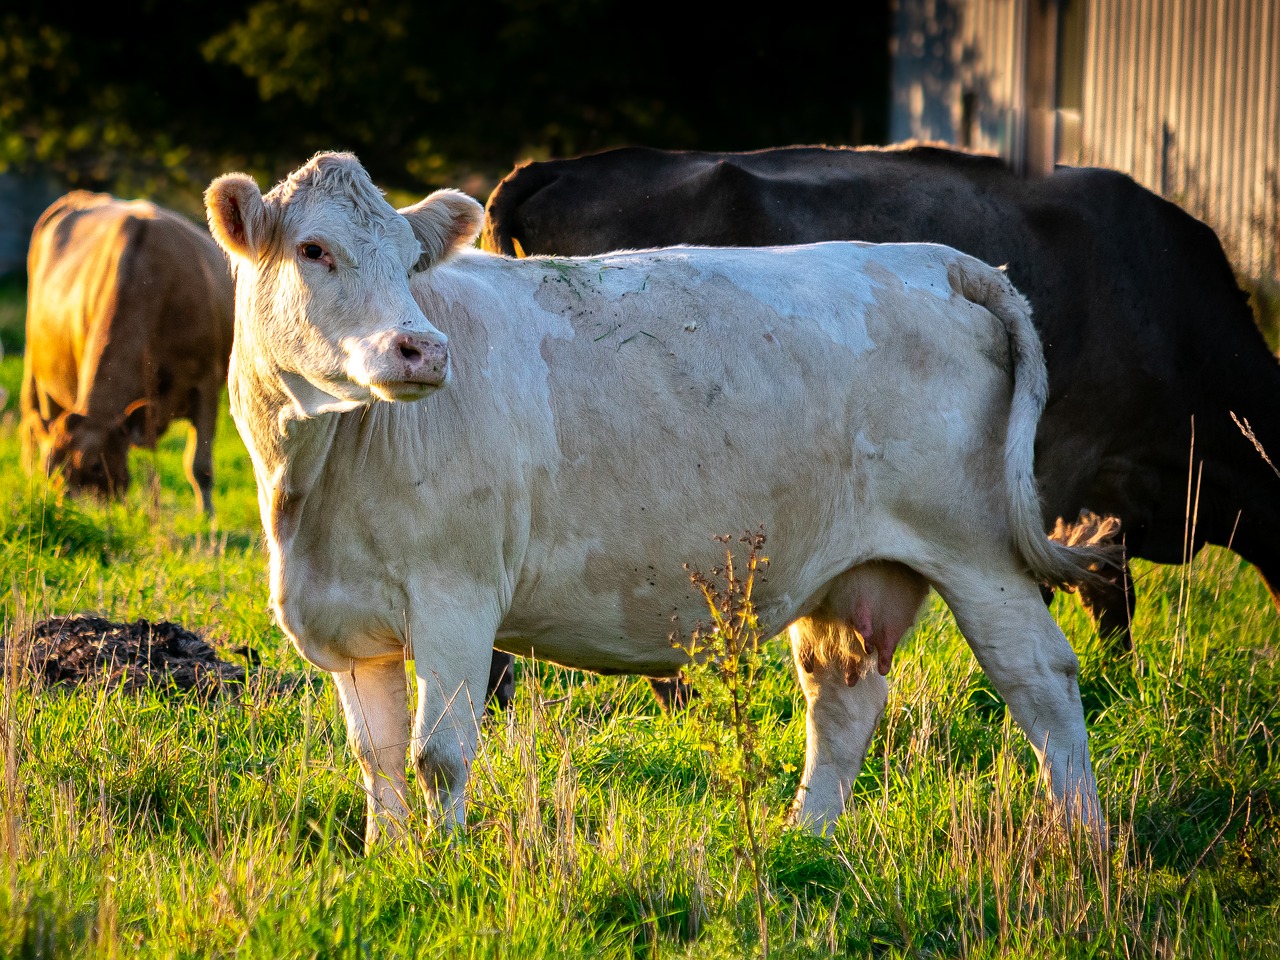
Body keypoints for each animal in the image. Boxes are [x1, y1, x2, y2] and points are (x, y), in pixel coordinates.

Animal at [20, 190, 235, 513]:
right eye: (51, 471)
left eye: (97, 466)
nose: (74, 516)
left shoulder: (207, 384)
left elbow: (200, 467)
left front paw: (206, 520)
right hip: (40, 373)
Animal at [205, 151, 1109, 848]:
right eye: (314, 249)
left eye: (407, 261)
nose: (421, 348)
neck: (312, 487)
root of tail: (939, 261)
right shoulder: (352, 626)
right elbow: (379, 761)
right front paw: (391, 861)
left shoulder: (454, 597)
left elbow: (441, 755)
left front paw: (449, 864)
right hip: (854, 567)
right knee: (842, 696)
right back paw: (805, 841)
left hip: (977, 548)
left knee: (1039, 678)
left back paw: (1085, 840)